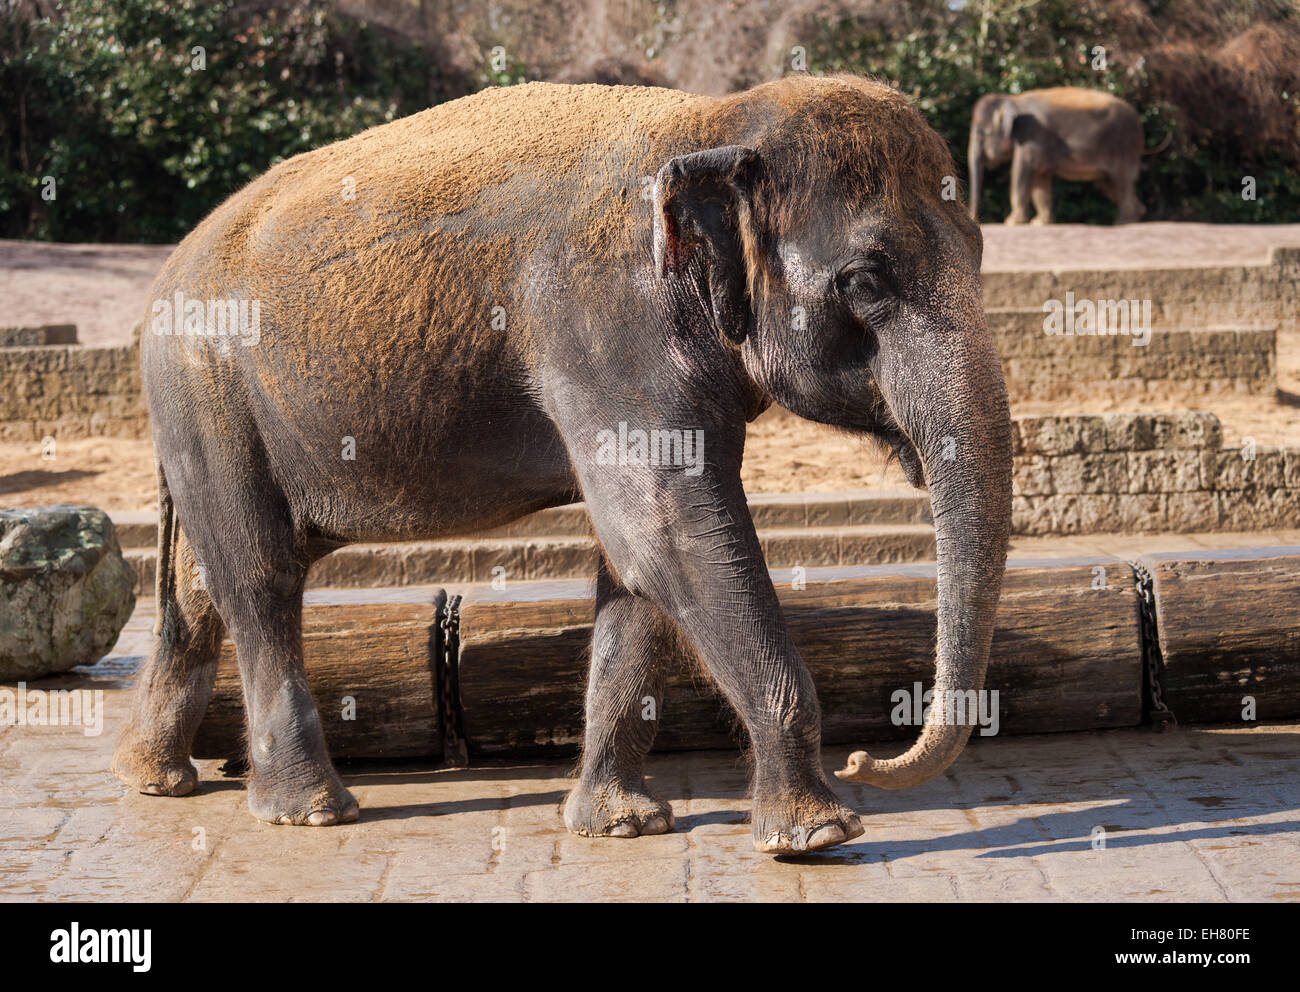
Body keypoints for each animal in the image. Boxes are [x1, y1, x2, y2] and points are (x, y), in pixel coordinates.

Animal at [111, 74, 1013, 855]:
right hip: (208, 394)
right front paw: (818, 835)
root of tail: (167, 272)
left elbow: (638, 563)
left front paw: (621, 826)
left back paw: (153, 778)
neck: (712, 123)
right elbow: (669, 532)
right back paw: (309, 811)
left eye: (979, 251)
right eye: (863, 282)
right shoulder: (604, 324)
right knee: (259, 577)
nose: (871, 758)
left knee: (202, 584)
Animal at [968, 87, 1148, 225]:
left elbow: (1022, 171)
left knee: (1122, 181)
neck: (1013, 100)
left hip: (1124, 146)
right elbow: (1040, 181)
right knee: (1111, 184)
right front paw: (1039, 223)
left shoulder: (1033, 136)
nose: (974, 219)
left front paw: (1012, 222)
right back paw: (1137, 214)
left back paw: (1123, 222)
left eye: (981, 132)